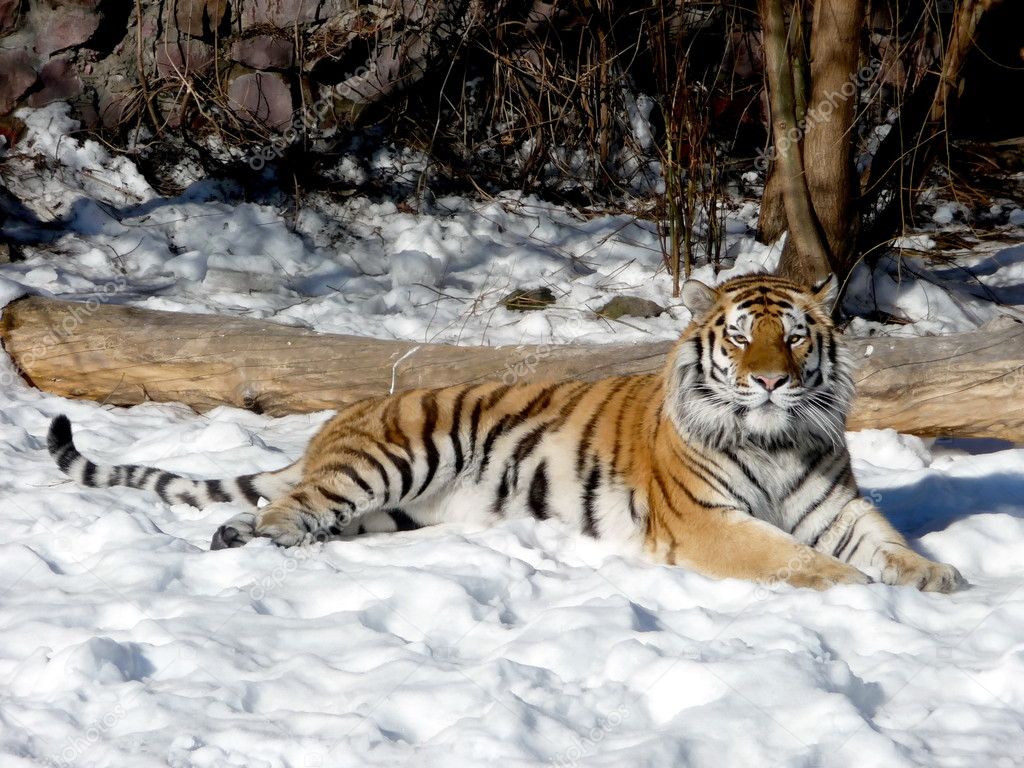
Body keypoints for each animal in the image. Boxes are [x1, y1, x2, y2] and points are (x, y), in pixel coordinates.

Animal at [47, 273, 964, 592]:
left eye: (797, 337)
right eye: (740, 338)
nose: (770, 380)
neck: (773, 439)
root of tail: (335, 421)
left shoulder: (834, 506)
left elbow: (885, 542)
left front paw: (937, 578)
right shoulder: (707, 522)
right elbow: (796, 562)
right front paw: (856, 591)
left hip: (387, 511)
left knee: (304, 515)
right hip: (389, 459)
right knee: (285, 508)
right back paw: (243, 541)